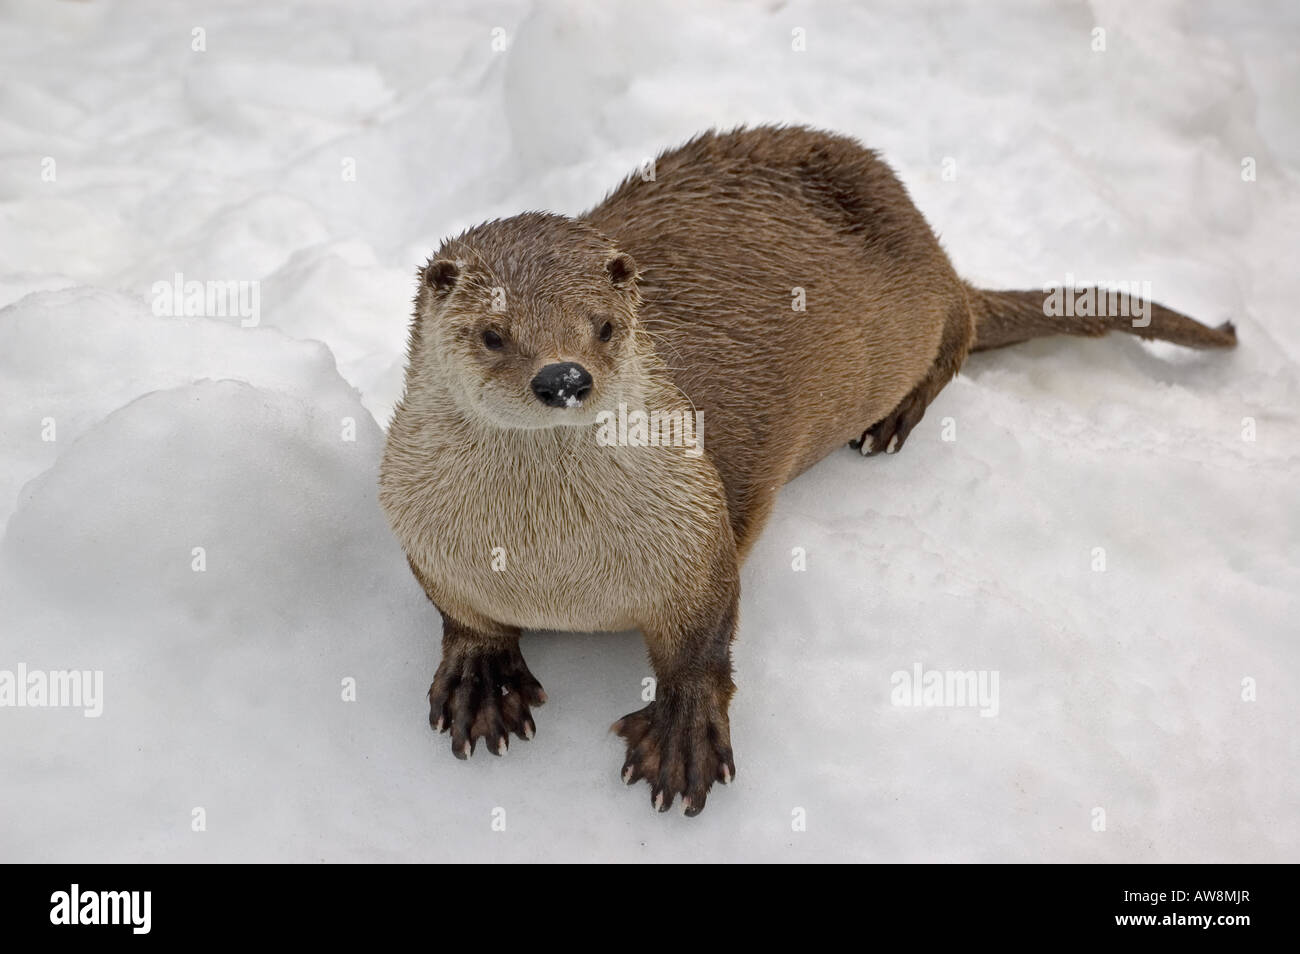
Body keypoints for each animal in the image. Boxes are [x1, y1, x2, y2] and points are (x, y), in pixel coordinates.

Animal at [379, 125, 1235, 816]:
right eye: (494, 333)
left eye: (604, 326)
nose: (563, 377)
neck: (548, 567)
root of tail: (926, 240)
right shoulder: (422, 538)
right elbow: (463, 616)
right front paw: (480, 676)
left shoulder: (699, 538)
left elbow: (703, 642)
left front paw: (683, 734)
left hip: (917, 316)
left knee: (957, 333)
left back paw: (893, 422)